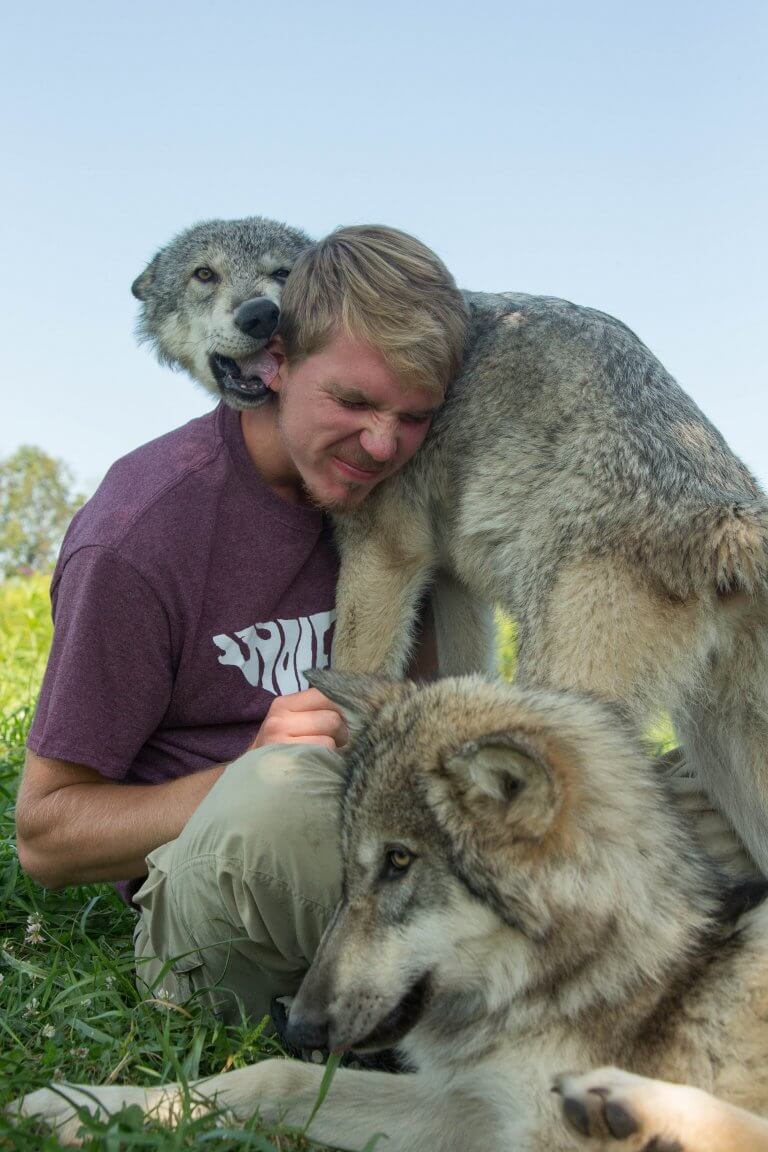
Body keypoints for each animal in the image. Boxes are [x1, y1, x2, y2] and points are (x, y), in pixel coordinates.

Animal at [13, 673, 768, 1149]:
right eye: (348, 867)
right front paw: (78, 1107)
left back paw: (632, 1109)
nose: (299, 1026)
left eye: (399, 861)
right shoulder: (468, 1111)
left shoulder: (522, 1128)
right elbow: (274, 1078)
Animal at [130, 216, 768, 875]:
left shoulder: (385, 553)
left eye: (282, 272)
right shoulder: (454, 582)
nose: (261, 314)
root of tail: (728, 515)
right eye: (204, 274)